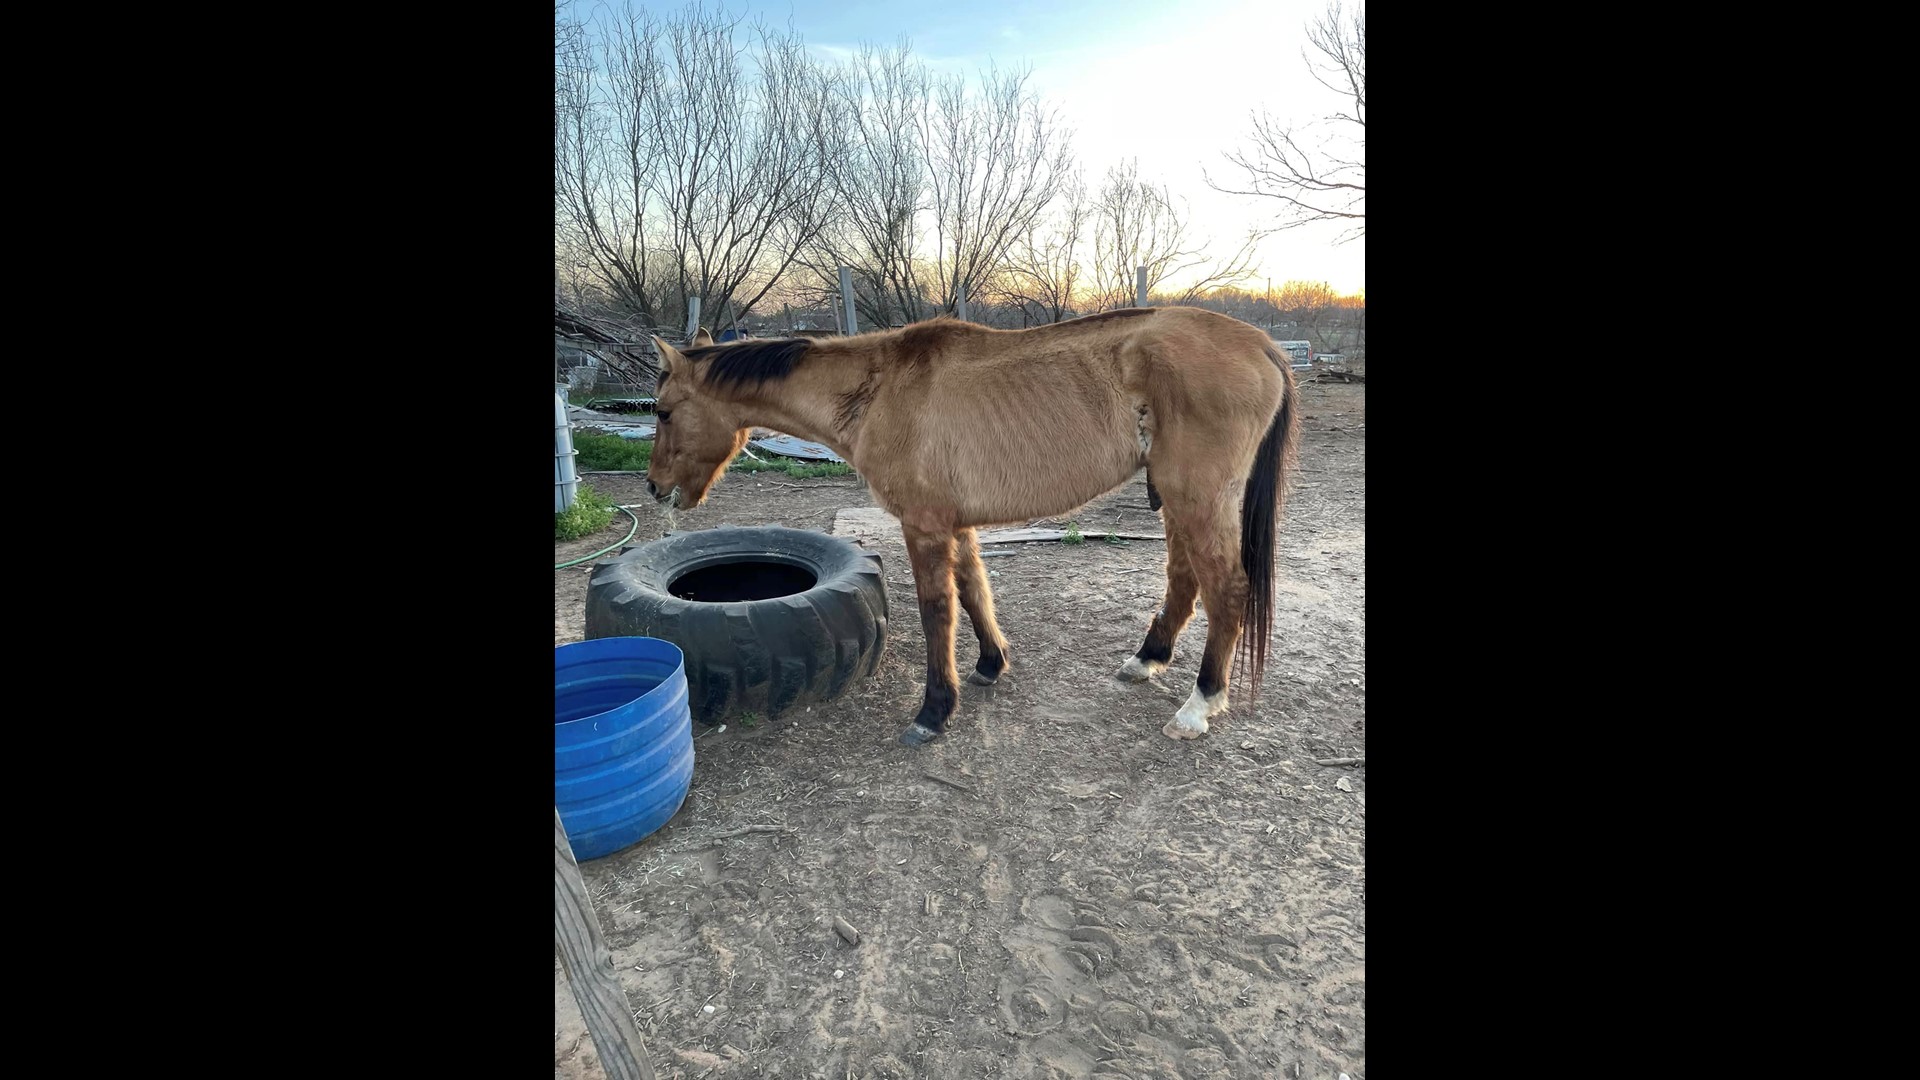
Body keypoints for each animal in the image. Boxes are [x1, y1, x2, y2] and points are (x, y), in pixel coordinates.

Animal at [647, 307, 1300, 746]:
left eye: (663, 411)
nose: (654, 487)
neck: (879, 391)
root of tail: (1262, 345)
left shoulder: (923, 527)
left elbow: (938, 612)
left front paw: (934, 711)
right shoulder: (955, 524)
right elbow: (974, 589)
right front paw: (990, 664)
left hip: (1198, 500)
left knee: (1227, 592)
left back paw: (1200, 704)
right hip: (1177, 501)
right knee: (1184, 583)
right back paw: (1147, 659)